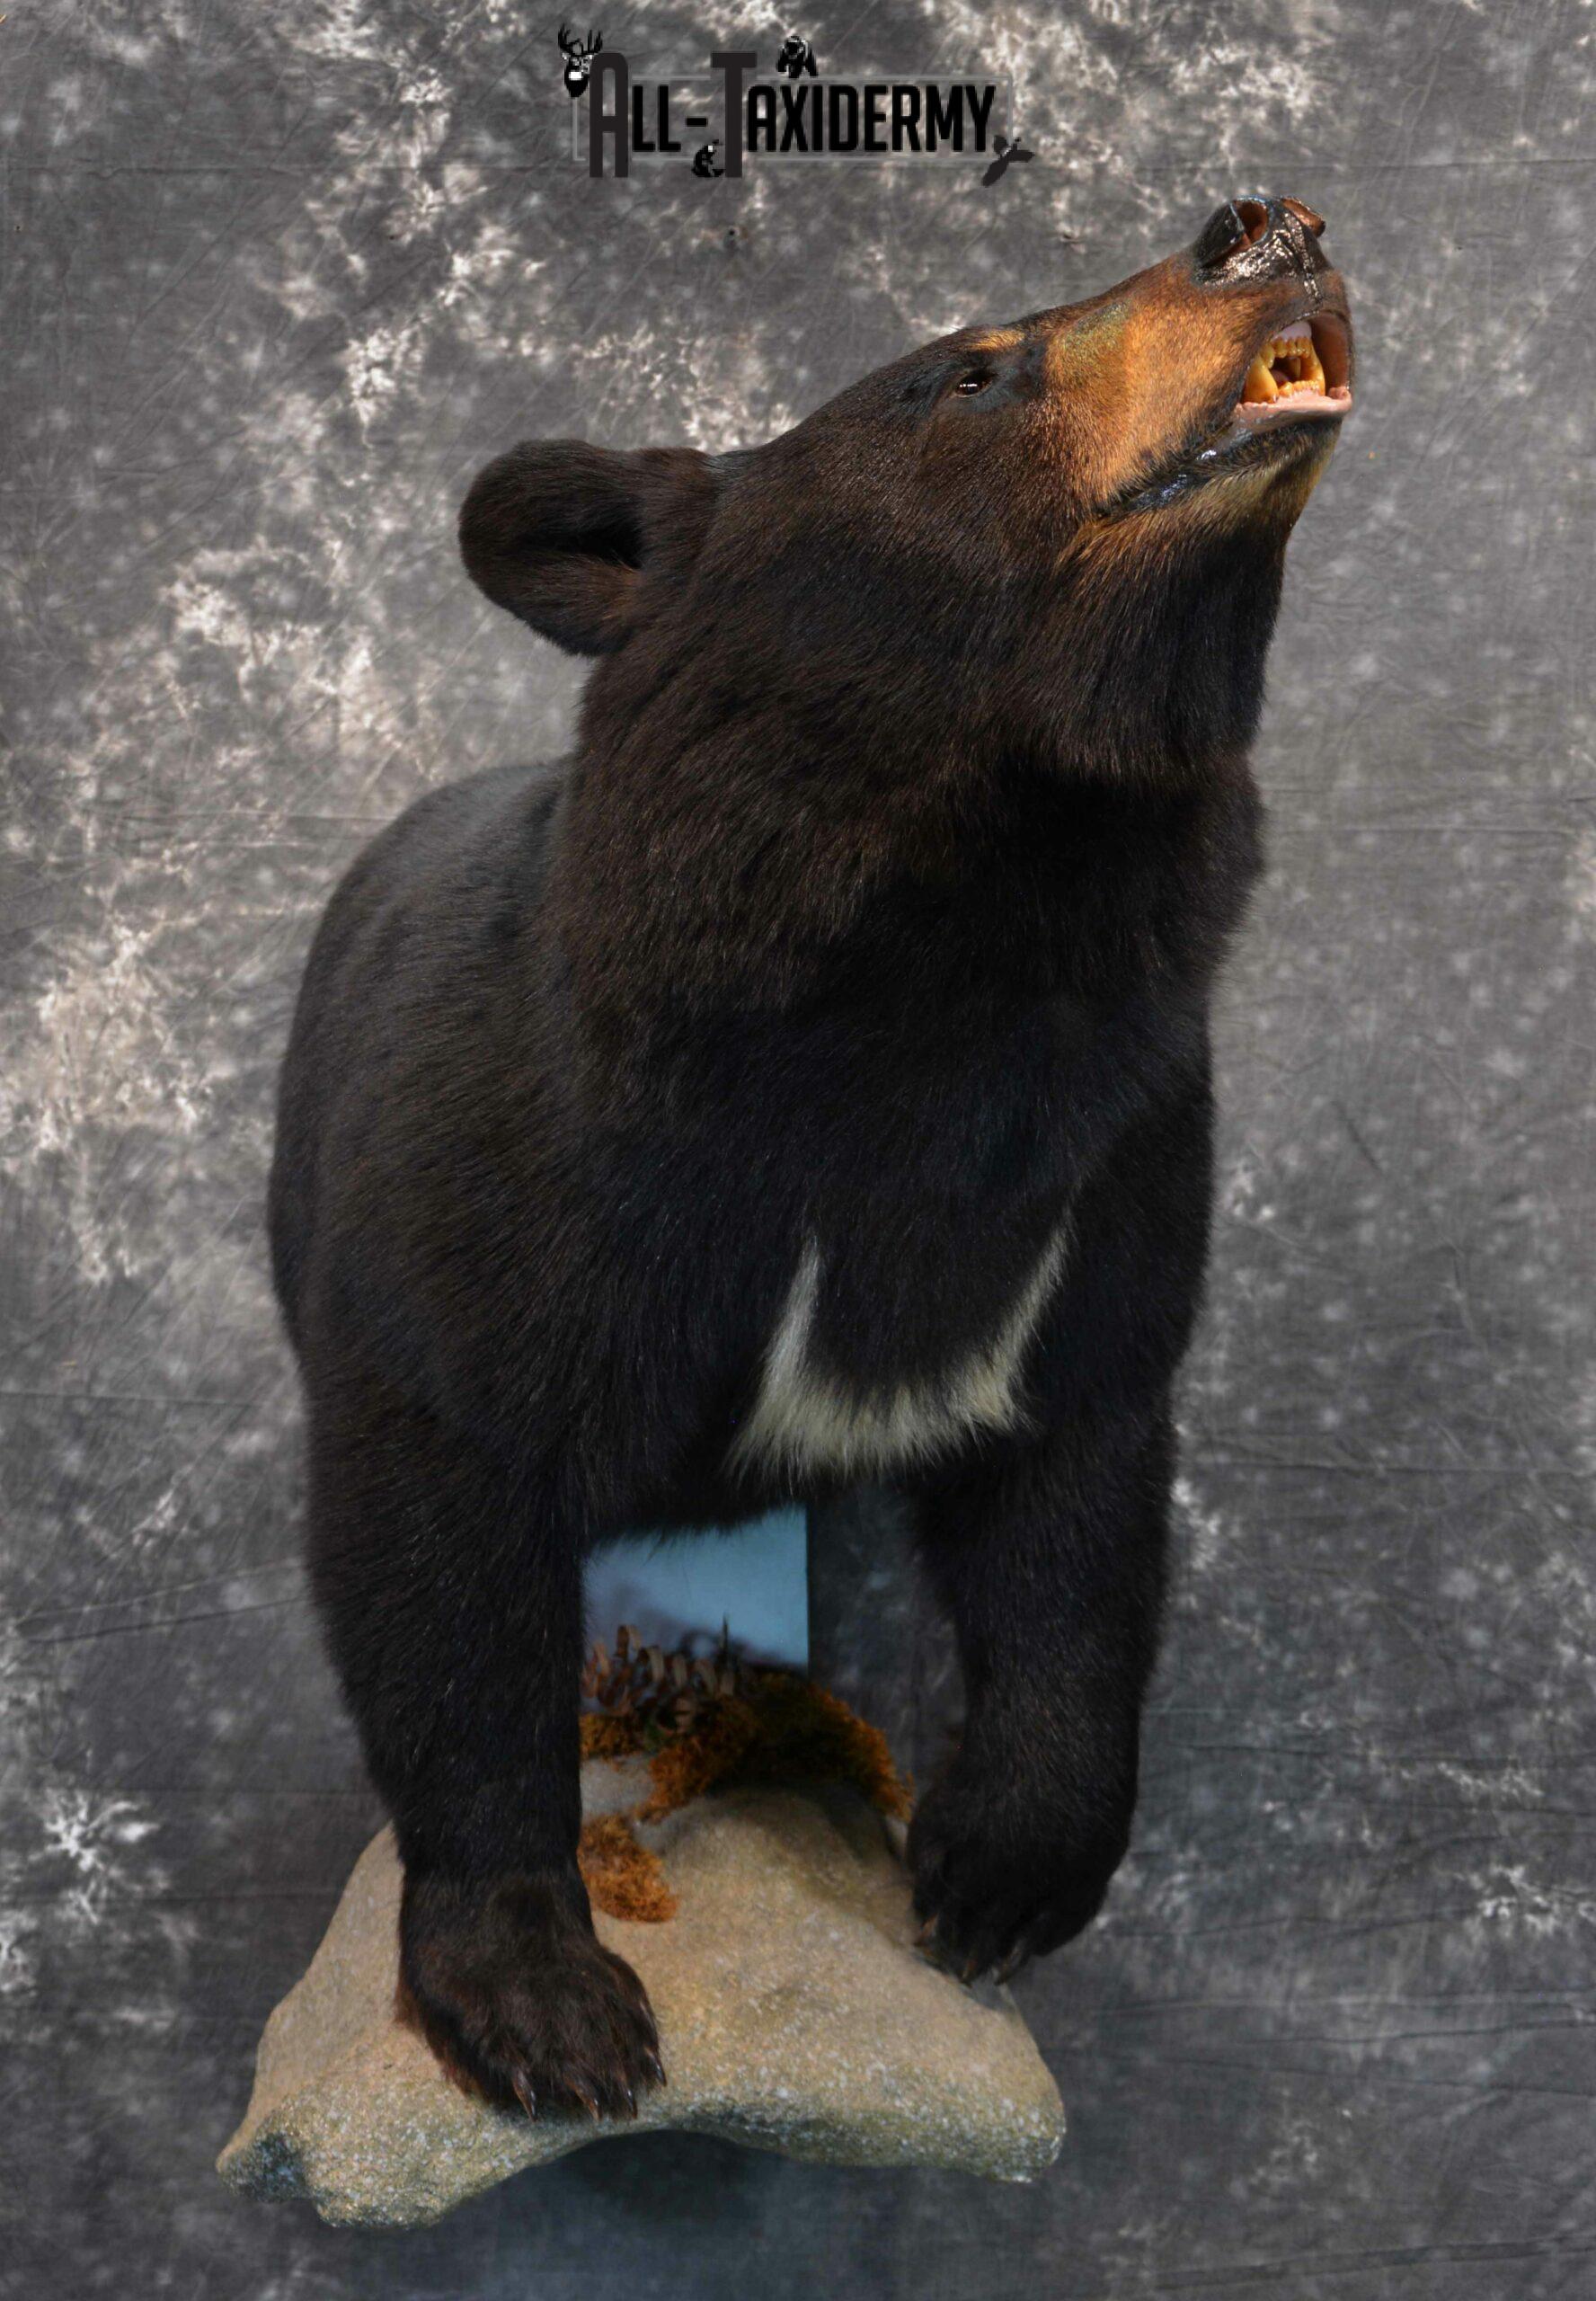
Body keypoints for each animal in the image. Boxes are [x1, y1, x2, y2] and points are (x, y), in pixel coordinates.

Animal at [268, 192, 1353, 2120]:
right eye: (972, 370)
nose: (1267, 227)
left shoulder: (1114, 1143)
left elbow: (1080, 1484)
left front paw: (995, 1880)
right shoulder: (510, 1177)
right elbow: (442, 1539)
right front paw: (548, 2011)